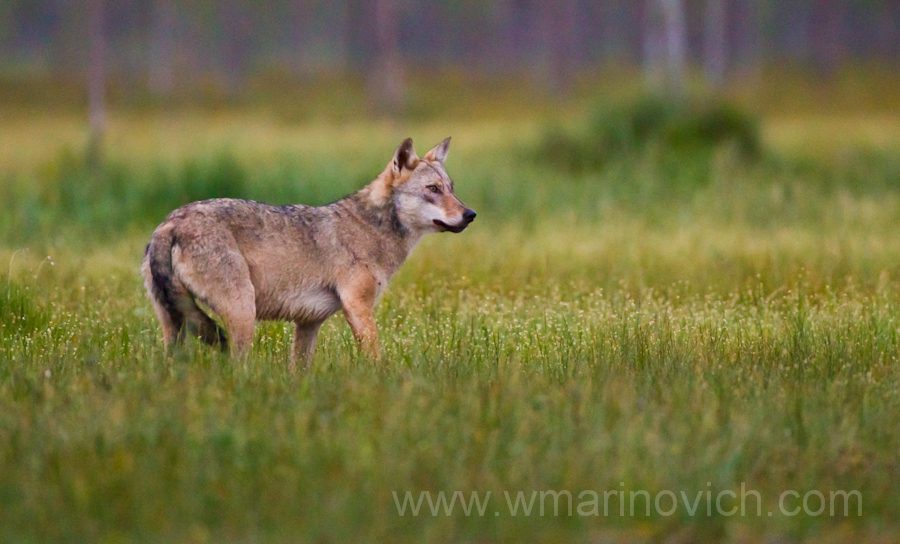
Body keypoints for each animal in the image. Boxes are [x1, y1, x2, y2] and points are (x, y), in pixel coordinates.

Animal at [141, 137, 475, 368]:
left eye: (451, 188)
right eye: (432, 189)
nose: (470, 214)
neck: (372, 229)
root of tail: (170, 223)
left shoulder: (309, 322)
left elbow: (299, 369)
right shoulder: (357, 307)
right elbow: (376, 357)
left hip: (177, 327)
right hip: (242, 314)